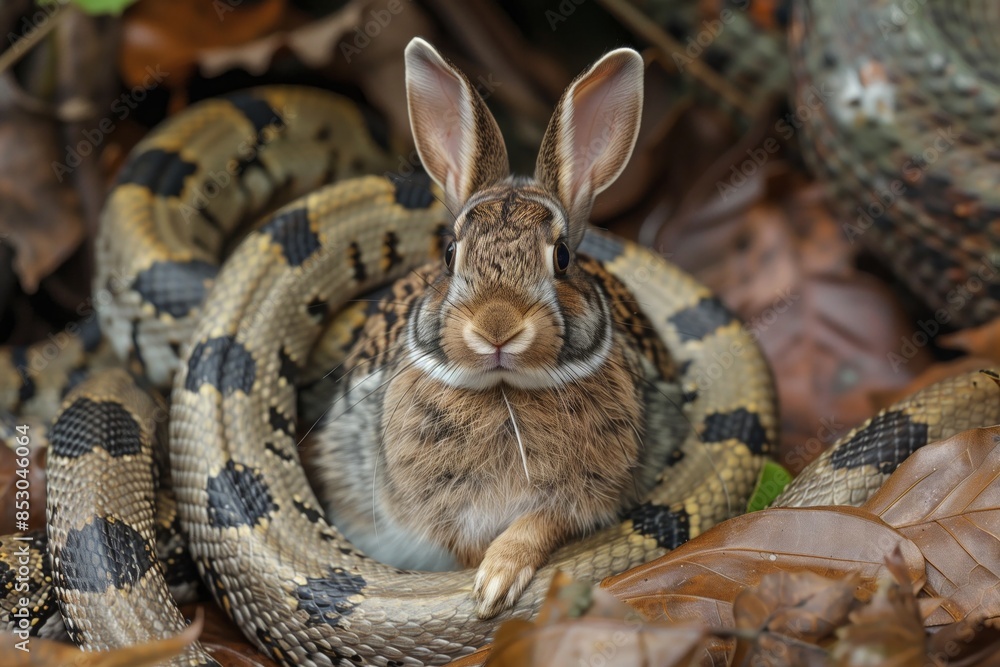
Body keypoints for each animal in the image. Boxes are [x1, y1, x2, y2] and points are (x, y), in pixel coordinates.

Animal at [307, 37, 683, 619]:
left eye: (563, 257)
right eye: (449, 253)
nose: (497, 328)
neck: (504, 390)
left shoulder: (585, 494)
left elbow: (541, 525)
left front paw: (498, 580)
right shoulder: (431, 506)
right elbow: (460, 541)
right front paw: (484, 585)